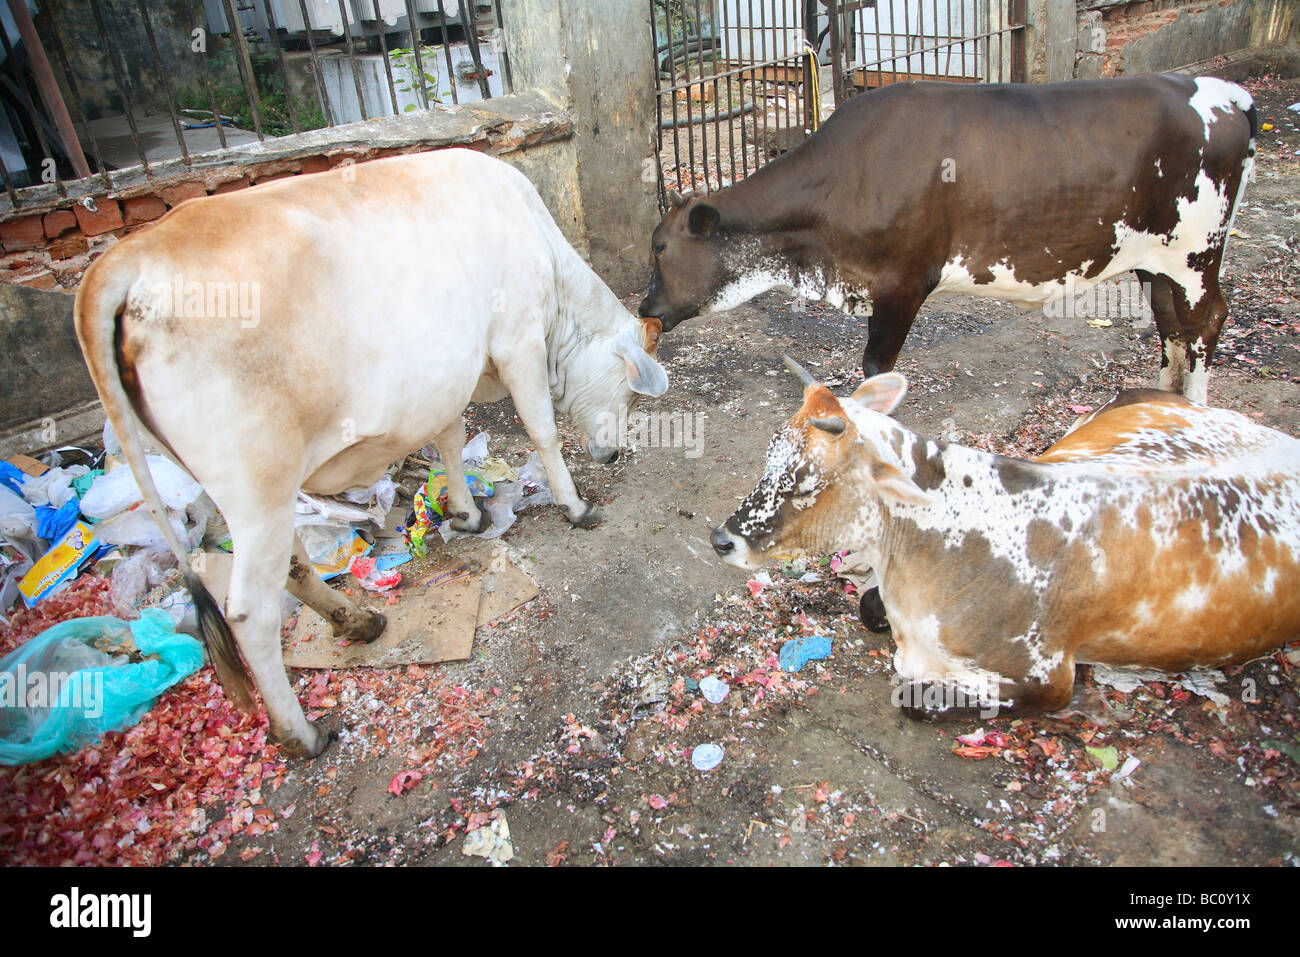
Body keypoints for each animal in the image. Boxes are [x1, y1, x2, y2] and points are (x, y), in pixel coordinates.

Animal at [74, 148, 669, 757]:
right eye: (629, 391)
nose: (613, 455)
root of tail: (123, 259)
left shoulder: (449, 375)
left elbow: (450, 439)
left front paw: (466, 513)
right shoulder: (517, 342)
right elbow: (542, 430)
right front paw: (574, 505)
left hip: (229, 491)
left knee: (291, 567)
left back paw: (356, 621)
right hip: (257, 485)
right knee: (249, 614)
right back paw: (300, 732)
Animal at [639, 75, 1258, 406]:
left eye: (659, 248)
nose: (645, 307)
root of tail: (1228, 93)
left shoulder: (904, 280)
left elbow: (877, 365)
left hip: (1199, 251)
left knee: (1208, 319)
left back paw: (1194, 408)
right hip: (1156, 257)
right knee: (1170, 322)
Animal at [710, 357, 1300, 718]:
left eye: (809, 481)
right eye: (769, 456)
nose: (723, 540)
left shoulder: (1049, 680)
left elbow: (914, 697)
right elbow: (870, 606)